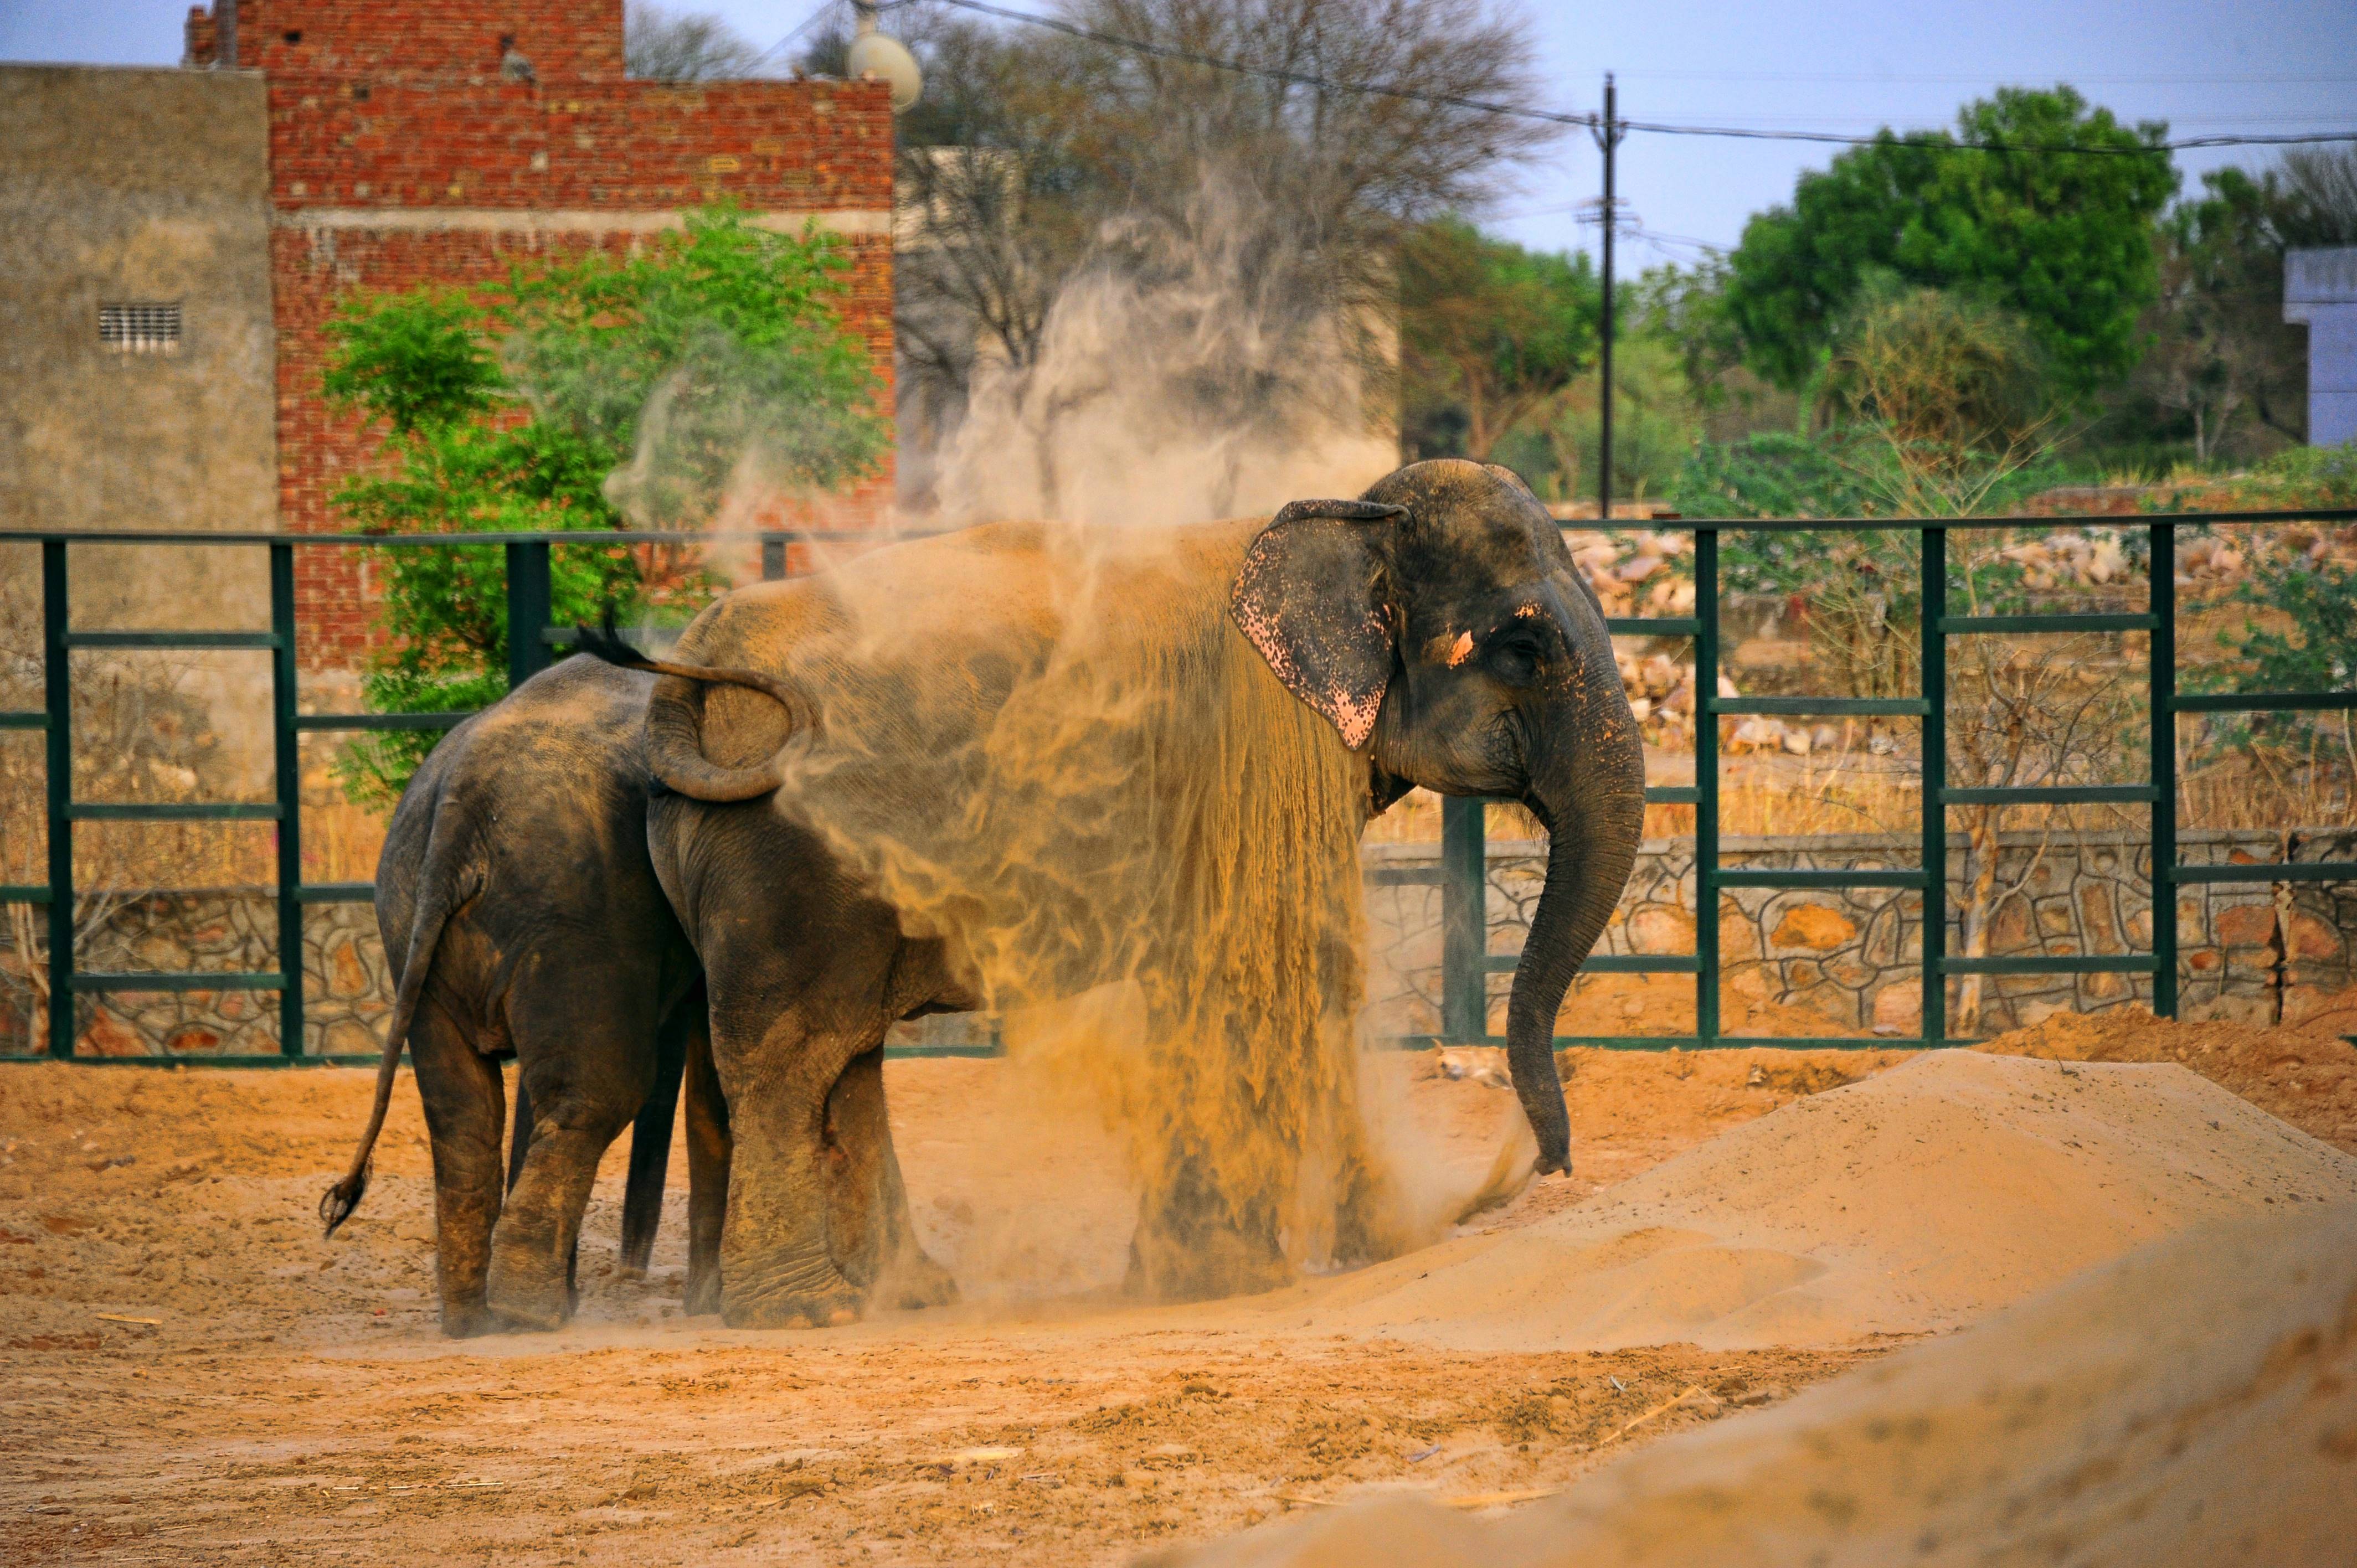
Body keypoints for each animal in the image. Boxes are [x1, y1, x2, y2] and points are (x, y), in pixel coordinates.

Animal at [585, 458, 1647, 1330]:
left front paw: (1204, 1273)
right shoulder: (1263, 748)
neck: (1350, 515)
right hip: (780, 851)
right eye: (1524, 652)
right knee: (789, 1056)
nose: (1542, 1165)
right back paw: (809, 1312)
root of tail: (687, 673)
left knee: (847, 1056)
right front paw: (1234, 1279)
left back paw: (903, 1295)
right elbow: (1269, 965)